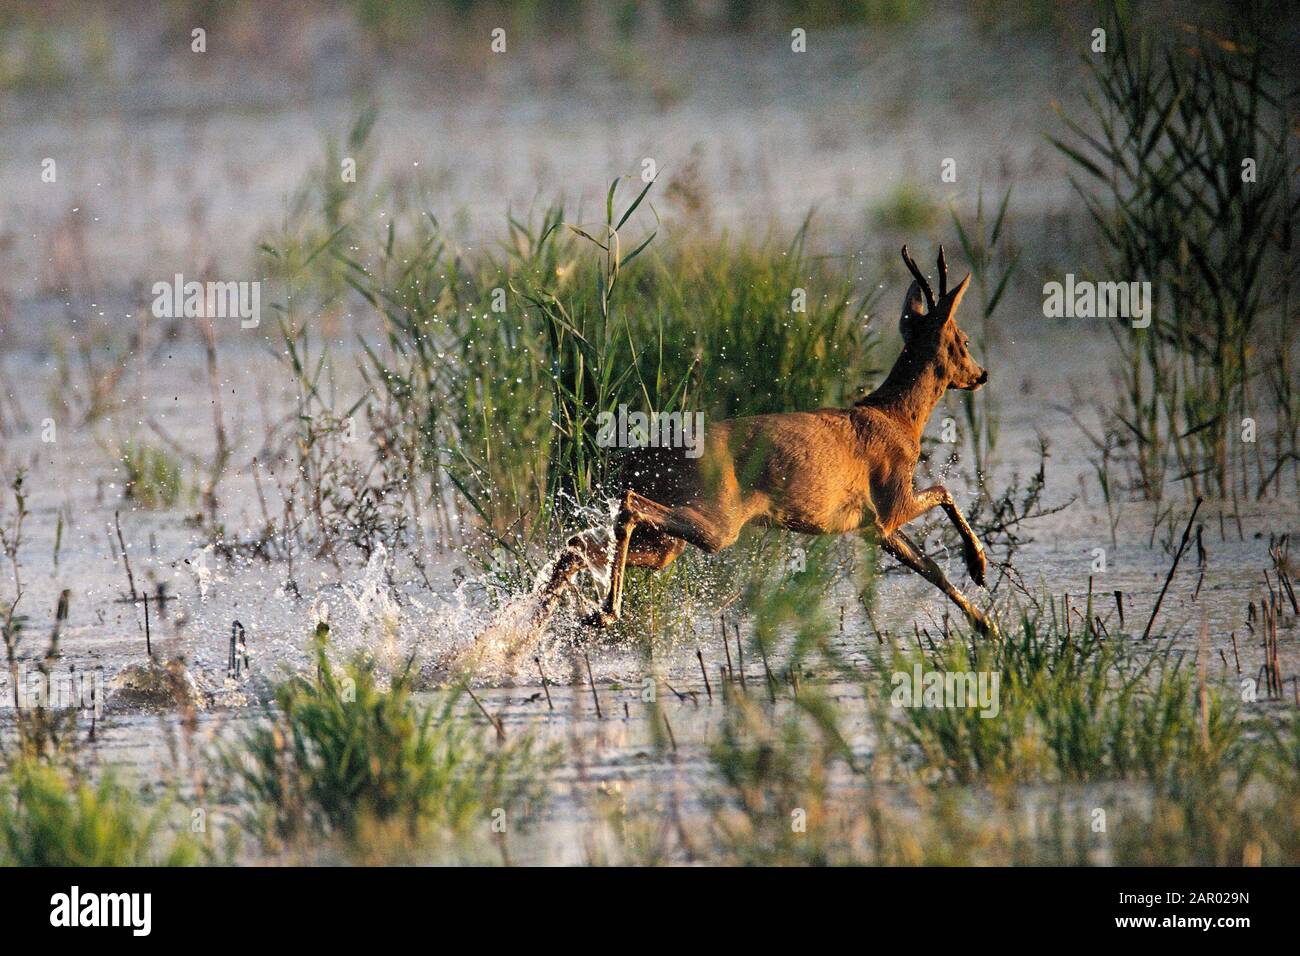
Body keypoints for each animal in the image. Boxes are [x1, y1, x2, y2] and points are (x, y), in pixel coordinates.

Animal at [533, 245, 997, 638]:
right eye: (964, 340)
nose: (982, 374)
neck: (897, 418)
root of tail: (642, 455)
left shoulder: (874, 528)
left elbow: (931, 568)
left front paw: (986, 623)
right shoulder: (891, 501)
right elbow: (944, 491)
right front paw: (979, 567)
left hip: (670, 540)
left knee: (580, 544)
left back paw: (529, 634)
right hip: (718, 518)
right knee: (625, 509)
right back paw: (602, 613)